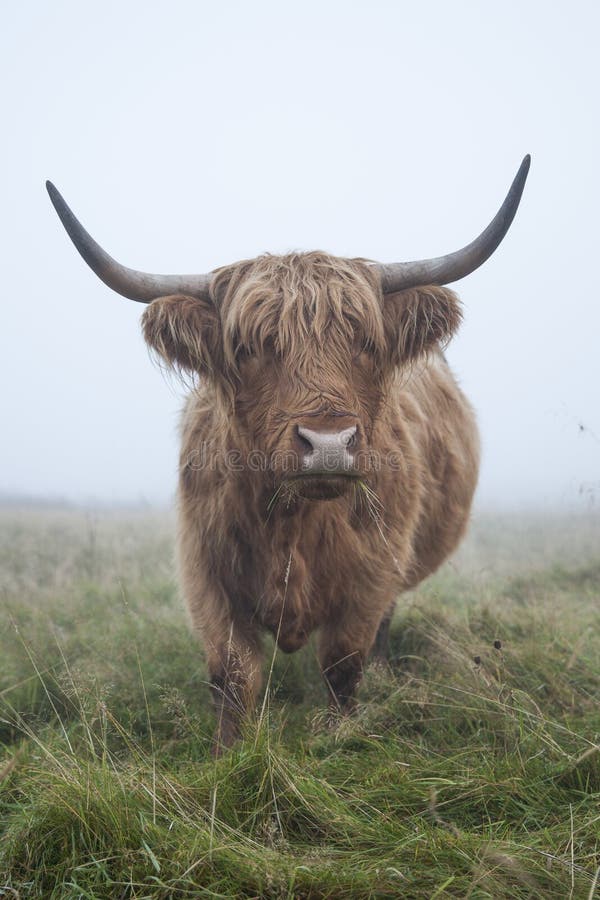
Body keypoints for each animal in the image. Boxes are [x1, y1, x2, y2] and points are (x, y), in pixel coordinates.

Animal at [47, 157, 530, 751]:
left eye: (366, 343)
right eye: (250, 347)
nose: (328, 445)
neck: (295, 523)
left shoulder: (373, 571)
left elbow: (343, 664)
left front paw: (340, 738)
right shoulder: (205, 571)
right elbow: (233, 672)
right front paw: (228, 754)